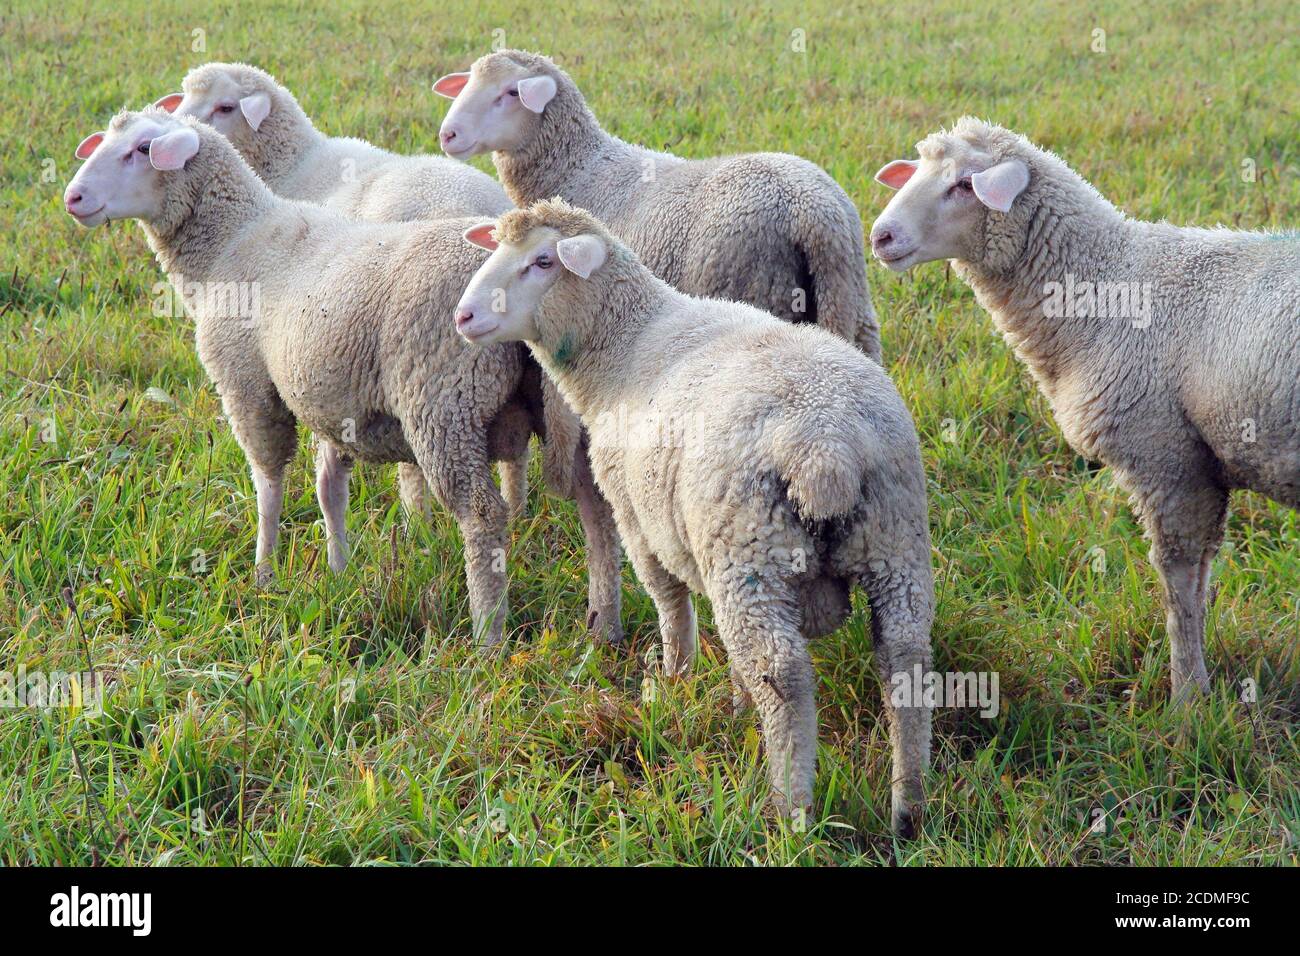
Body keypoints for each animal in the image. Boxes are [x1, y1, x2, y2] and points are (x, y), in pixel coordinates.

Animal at [63, 110, 625, 646]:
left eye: (142, 149)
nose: (73, 197)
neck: (232, 241)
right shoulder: (334, 397)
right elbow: (329, 486)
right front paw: (338, 569)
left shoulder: (247, 383)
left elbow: (269, 484)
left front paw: (264, 573)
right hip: (565, 406)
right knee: (598, 512)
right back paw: (604, 625)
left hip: (444, 403)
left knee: (484, 515)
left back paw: (488, 635)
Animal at [434, 50, 883, 363]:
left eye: (511, 92)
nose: (447, 135)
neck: (579, 167)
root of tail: (811, 212)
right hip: (850, 299)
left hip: (755, 286)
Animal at [452, 198, 934, 837]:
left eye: (541, 262)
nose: (464, 316)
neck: (625, 346)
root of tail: (827, 447)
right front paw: (734, 703)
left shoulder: (638, 519)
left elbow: (669, 601)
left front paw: (675, 679)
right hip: (894, 538)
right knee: (905, 662)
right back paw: (909, 807)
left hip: (750, 550)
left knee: (782, 674)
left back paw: (791, 813)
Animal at [870, 116, 1300, 701]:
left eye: (963, 184)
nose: (881, 236)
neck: (1106, 284)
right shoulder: (1201, 467)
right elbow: (1201, 576)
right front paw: (1196, 684)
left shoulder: (1167, 458)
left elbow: (1178, 582)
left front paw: (1187, 697)